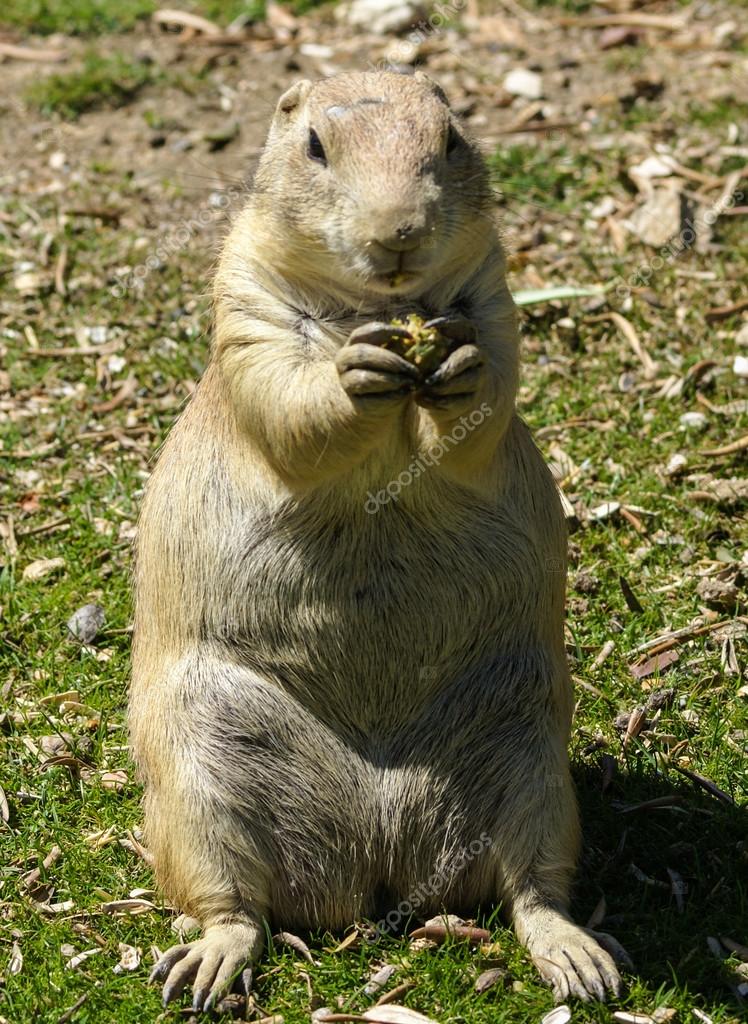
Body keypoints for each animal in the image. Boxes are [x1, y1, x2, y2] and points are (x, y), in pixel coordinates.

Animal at [129, 70, 627, 1013]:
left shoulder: (497, 301)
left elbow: (492, 392)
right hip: (195, 784)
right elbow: (283, 399)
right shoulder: (243, 300)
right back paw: (204, 965)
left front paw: (459, 369)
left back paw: (580, 957)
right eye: (315, 146)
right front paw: (350, 376)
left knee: (533, 888)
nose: (397, 232)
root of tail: (374, 866)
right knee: (233, 905)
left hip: (537, 763)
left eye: (451, 139)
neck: (384, 310)